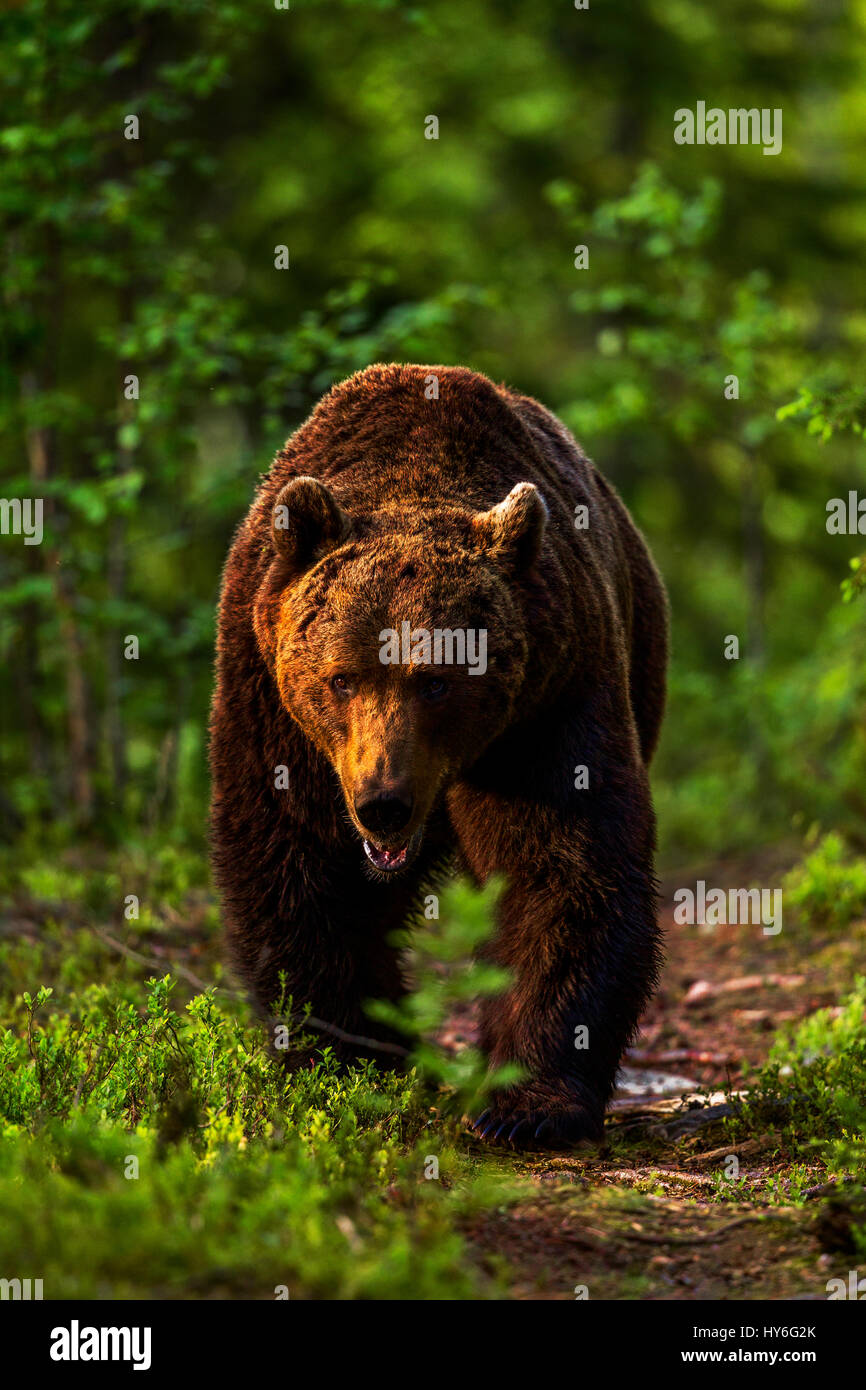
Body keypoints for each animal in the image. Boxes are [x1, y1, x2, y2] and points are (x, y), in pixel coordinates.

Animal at [209, 362, 668, 1147]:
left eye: (438, 680)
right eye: (341, 677)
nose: (383, 805)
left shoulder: (551, 701)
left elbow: (563, 864)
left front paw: (526, 1101)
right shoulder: (272, 705)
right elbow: (297, 864)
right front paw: (356, 1062)